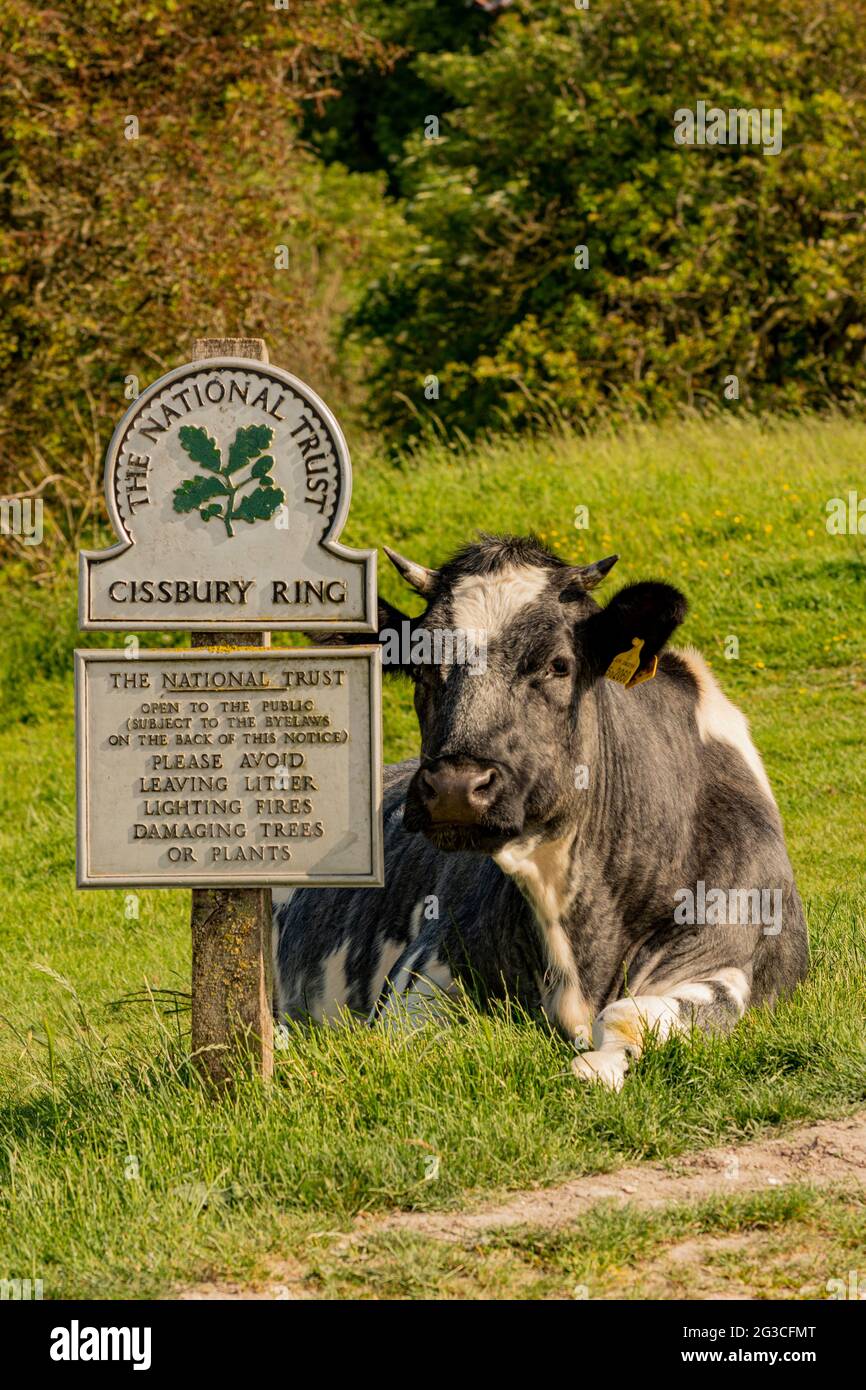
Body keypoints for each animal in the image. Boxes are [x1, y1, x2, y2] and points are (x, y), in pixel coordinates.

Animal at [272, 534, 808, 1089]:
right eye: (419, 666)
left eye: (558, 665)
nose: (455, 786)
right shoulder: (425, 970)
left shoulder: (730, 959)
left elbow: (625, 1017)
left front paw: (597, 1067)